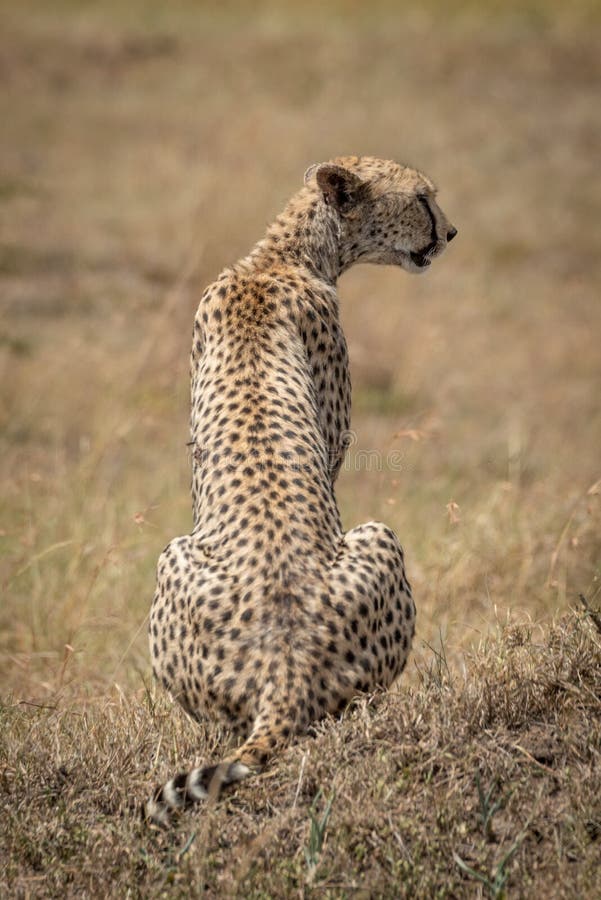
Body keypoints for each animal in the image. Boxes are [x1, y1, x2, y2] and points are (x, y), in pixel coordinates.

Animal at [146, 156, 457, 824]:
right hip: (371, 534)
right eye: (422, 198)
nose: (451, 232)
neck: (280, 257)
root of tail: (286, 662)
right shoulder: (334, 441)